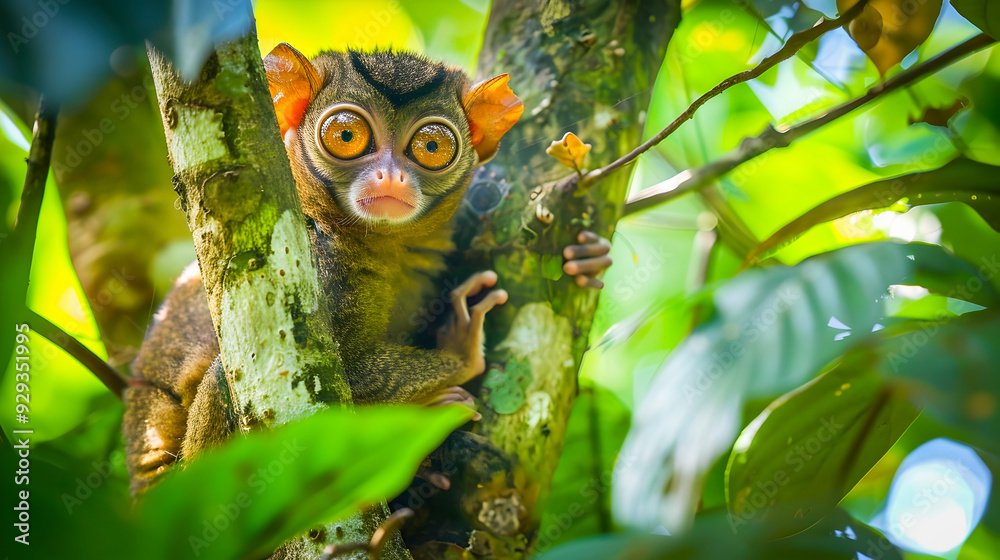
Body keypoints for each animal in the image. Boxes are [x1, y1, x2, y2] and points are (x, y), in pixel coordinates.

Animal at [122, 44, 612, 507]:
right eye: (346, 135)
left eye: (432, 146)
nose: (389, 177)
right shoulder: (319, 257)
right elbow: (336, 379)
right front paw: (459, 347)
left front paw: (582, 257)